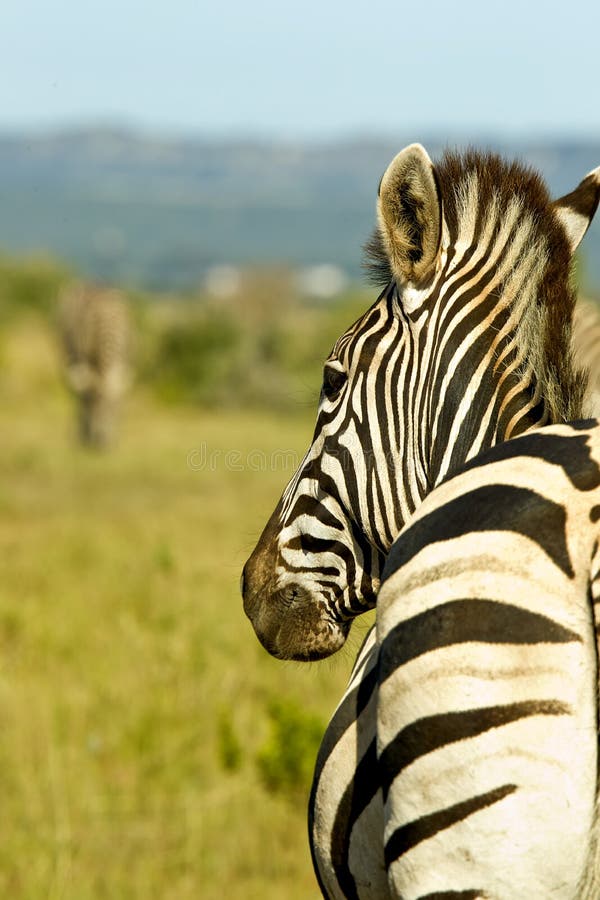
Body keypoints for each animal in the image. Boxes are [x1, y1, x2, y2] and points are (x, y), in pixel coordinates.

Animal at [59, 281, 131, 447]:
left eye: (113, 407)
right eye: (91, 403)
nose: (101, 444)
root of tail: (94, 282)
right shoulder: (80, 357)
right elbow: (81, 396)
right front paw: (83, 434)